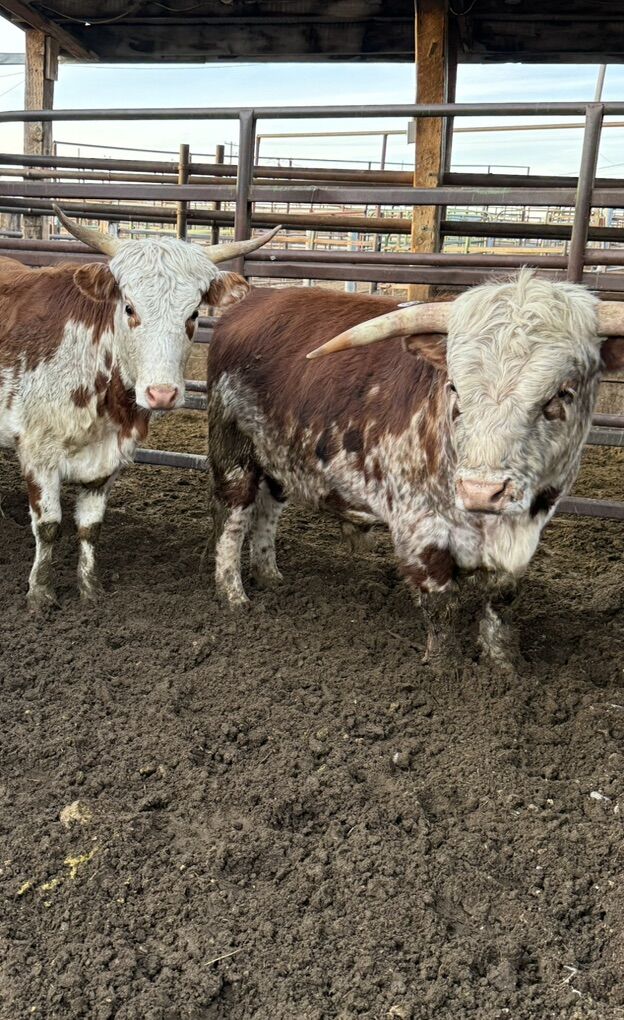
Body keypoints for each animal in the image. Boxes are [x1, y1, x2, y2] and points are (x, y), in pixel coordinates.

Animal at [0, 208, 279, 609]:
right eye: (129, 307)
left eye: (194, 313)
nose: (161, 393)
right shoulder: (38, 453)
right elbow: (48, 526)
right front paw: (40, 594)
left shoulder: (108, 458)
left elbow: (90, 526)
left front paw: (90, 588)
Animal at [206, 272, 624, 673]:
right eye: (454, 387)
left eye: (561, 394)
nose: (480, 490)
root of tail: (253, 299)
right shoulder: (420, 528)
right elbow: (441, 602)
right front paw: (445, 668)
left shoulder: (523, 534)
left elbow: (500, 598)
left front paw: (502, 663)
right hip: (234, 453)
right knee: (233, 520)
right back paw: (233, 595)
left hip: (278, 458)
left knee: (267, 511)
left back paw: (269, 575)